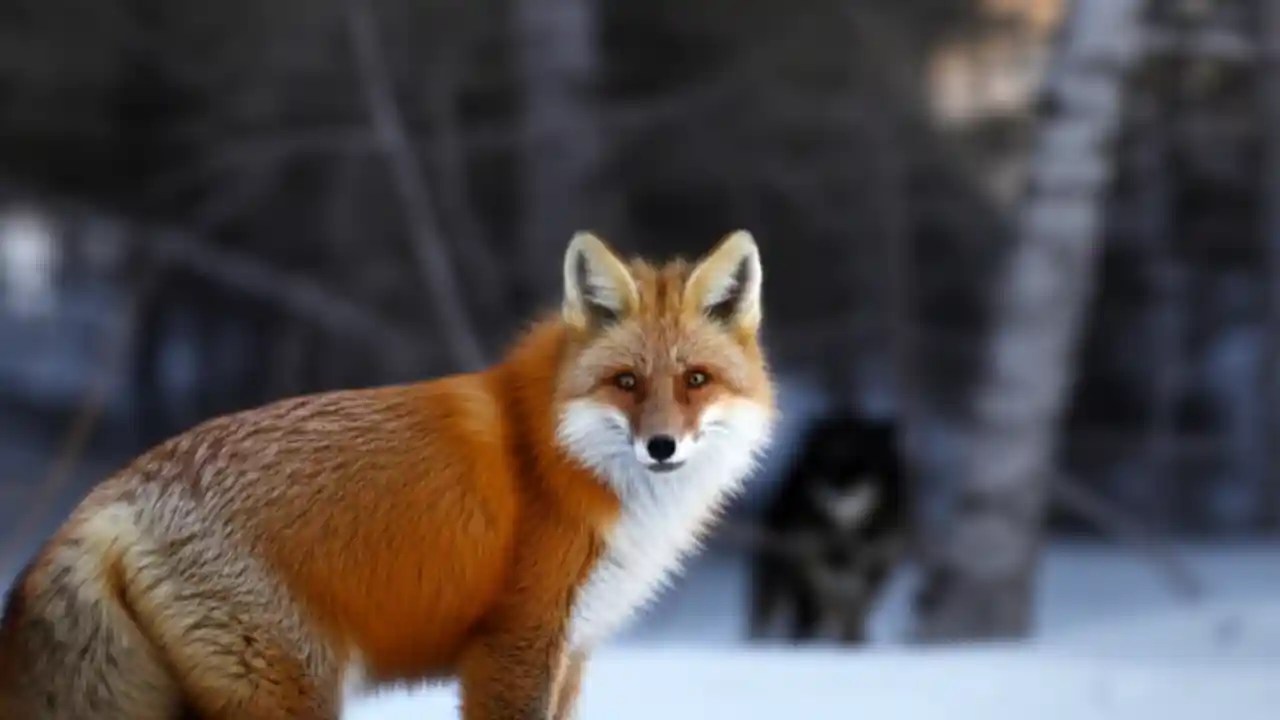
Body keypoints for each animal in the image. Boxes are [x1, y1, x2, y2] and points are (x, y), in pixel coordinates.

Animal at [0, 231, 774, 720]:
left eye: (696, 380)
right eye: (626, 383)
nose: (662, 446)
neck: (560, 456)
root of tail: (108, 497)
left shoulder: (572, 652)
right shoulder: (513, 647)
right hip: (292, 694)